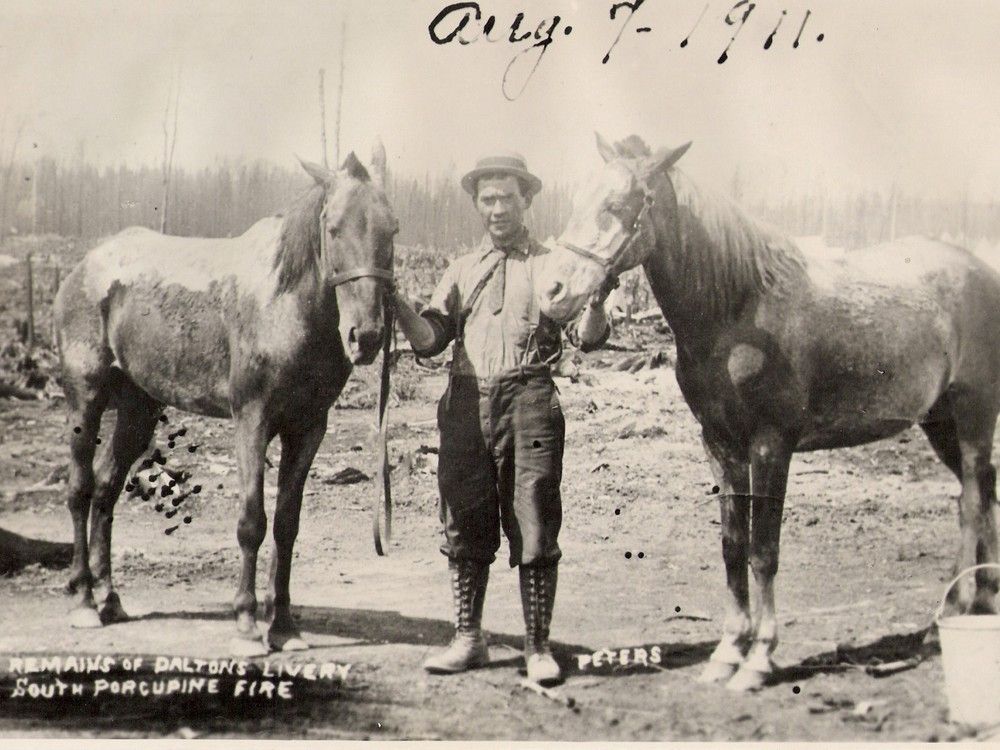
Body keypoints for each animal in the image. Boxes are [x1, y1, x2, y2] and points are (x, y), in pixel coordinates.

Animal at [52, 146, 397, 656]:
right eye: (333, 228)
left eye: (392, 229)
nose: (367, 336)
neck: (285, 305)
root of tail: (83, 267)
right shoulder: (252, 421)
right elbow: (252, 522)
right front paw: (248, 625)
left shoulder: (308, 428)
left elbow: (287, 525)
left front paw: (285, 627)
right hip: (85, 396)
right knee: (80, 490)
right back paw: (82, 602)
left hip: (139, 408)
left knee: (106, 488)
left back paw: (110, 599)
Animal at [535, 133, 1000, 691]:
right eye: (578, 200)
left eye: (620, 204)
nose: (552, 292)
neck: (739, 309)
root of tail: (981, 272)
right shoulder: (720, 446)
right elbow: (733, 548)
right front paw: (728, 651)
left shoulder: (771, 445)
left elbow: (764, 551)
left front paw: (759, 658)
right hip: (939, 423)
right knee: (982, 495)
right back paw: (980, 602)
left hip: (974, 416)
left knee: (972, 503)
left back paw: (947, 617)